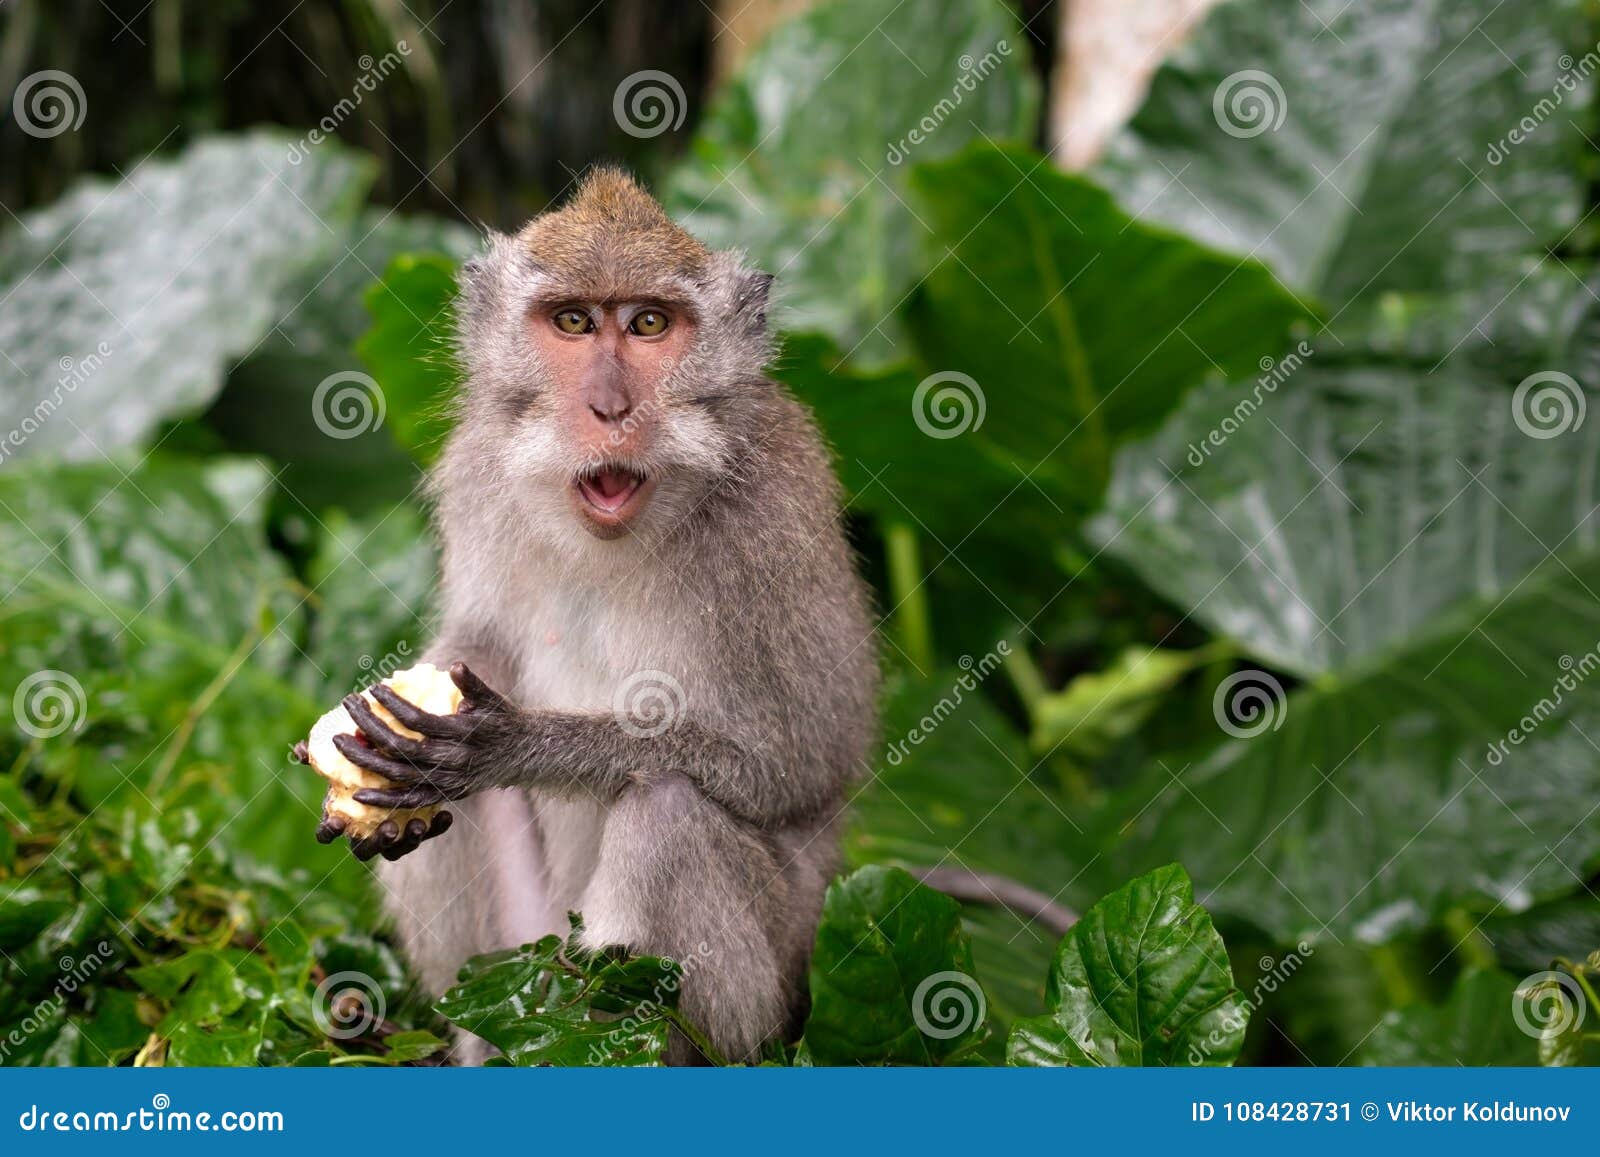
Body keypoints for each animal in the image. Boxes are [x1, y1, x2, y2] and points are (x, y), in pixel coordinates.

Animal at [294, 166, 880, 1065]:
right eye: (572, 321)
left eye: (649, 324)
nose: (609, 406)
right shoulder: (478, 470)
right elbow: (477, 645)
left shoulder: (772, 519)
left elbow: (800, 760)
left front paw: (519, 742)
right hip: (524, 955)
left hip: (765, 995)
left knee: (667, 813)